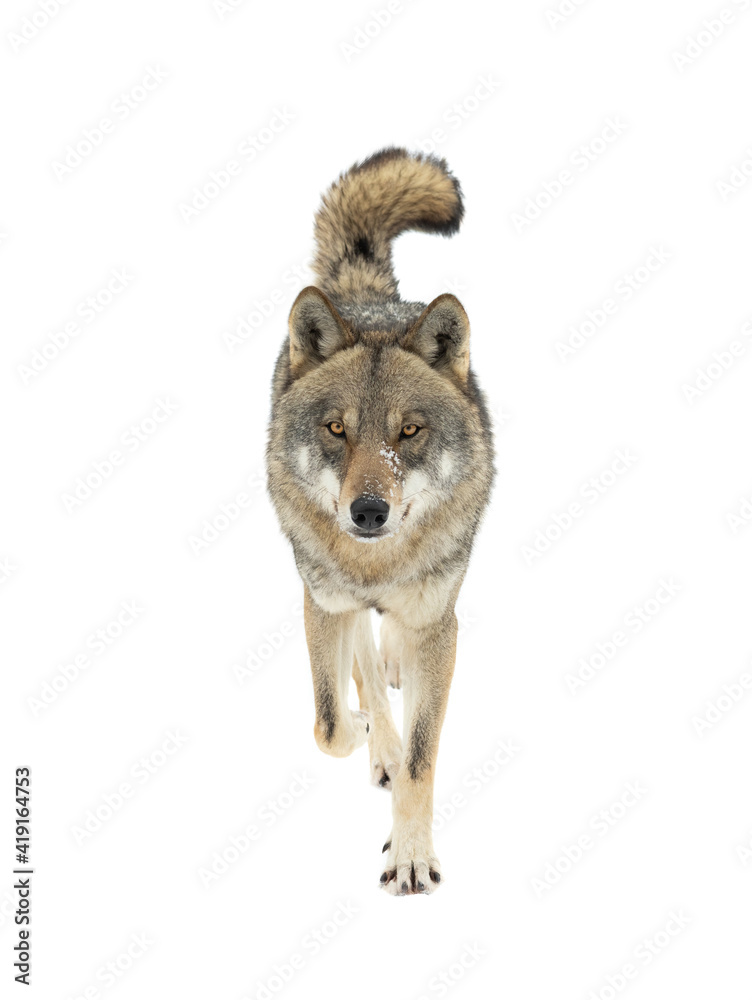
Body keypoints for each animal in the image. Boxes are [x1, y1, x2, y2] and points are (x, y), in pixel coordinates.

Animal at [266, 148, 494, 894]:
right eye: (337, 428)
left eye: (409, 430)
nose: (368, 510)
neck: (377, 564)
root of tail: (362, 298)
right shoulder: (321, 601)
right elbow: (329, 724)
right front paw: (375, 741)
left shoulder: (439, 623)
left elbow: (425, 758)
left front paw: (413, 858)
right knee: (362, 659)